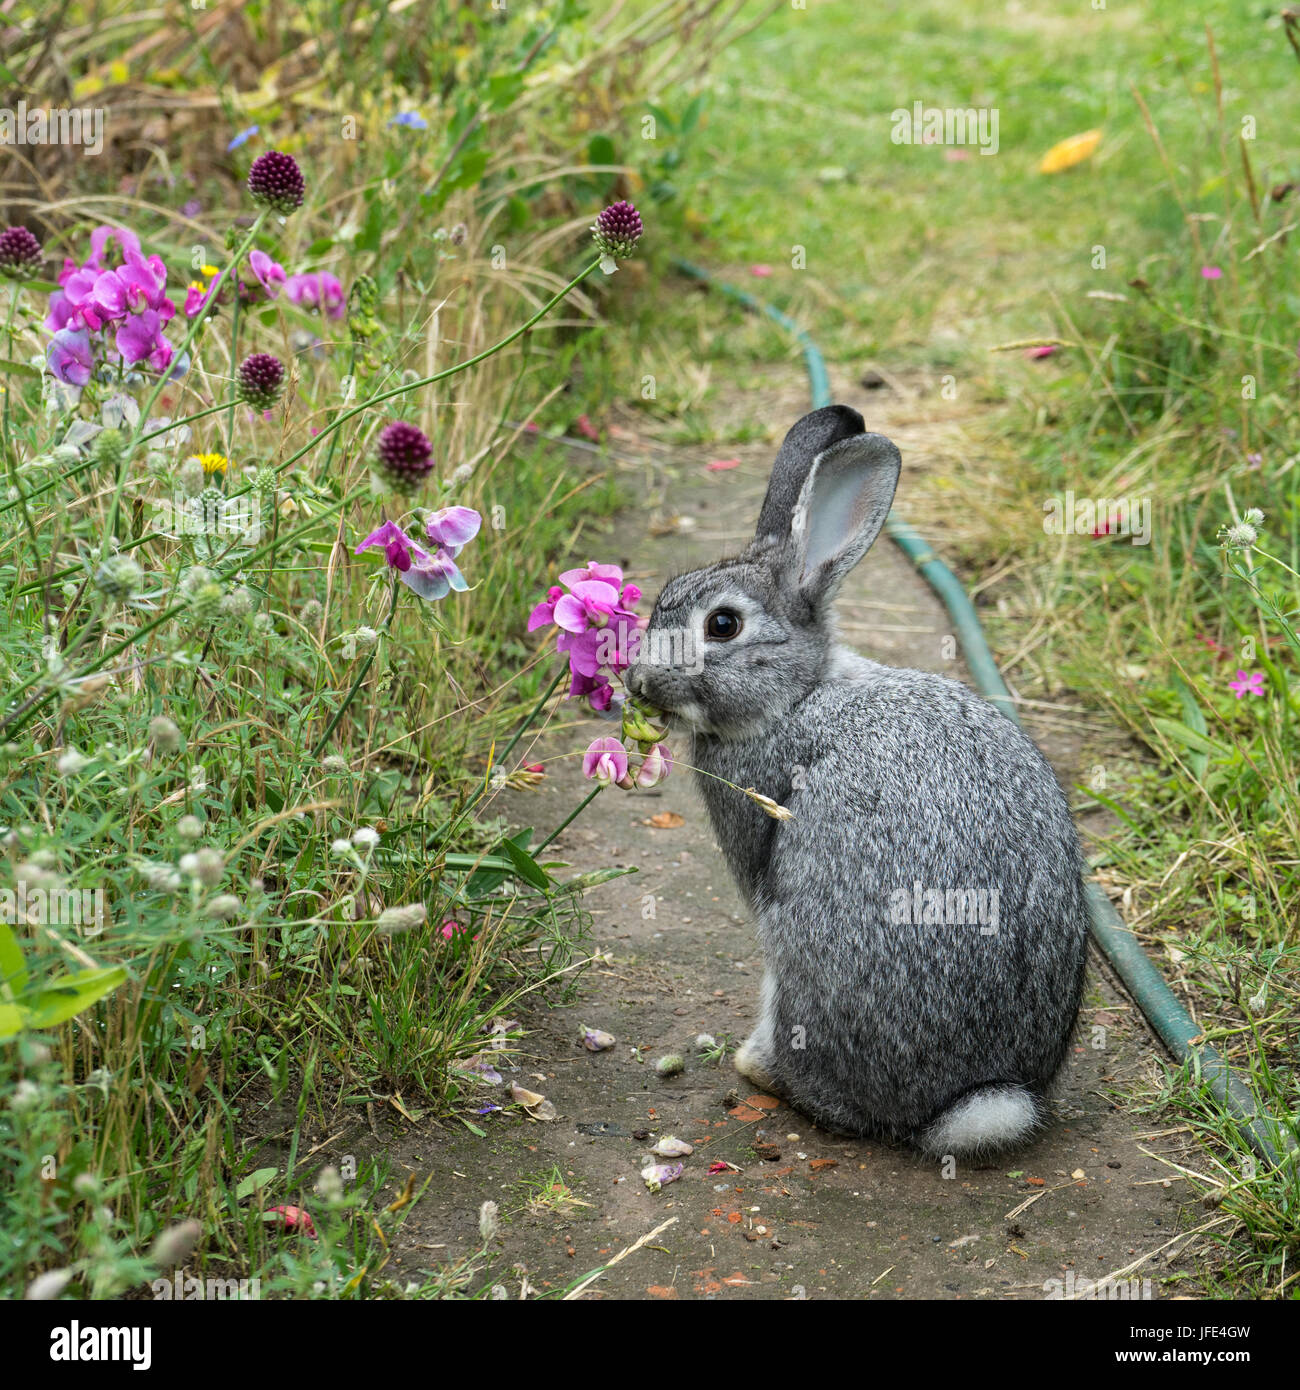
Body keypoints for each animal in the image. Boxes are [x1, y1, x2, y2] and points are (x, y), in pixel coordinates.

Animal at [624, 404, 1089, 1157]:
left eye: (722, 624)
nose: (638, 682)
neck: (799, 694)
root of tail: (970, 1100)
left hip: (800, 957)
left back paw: (760, 1068)